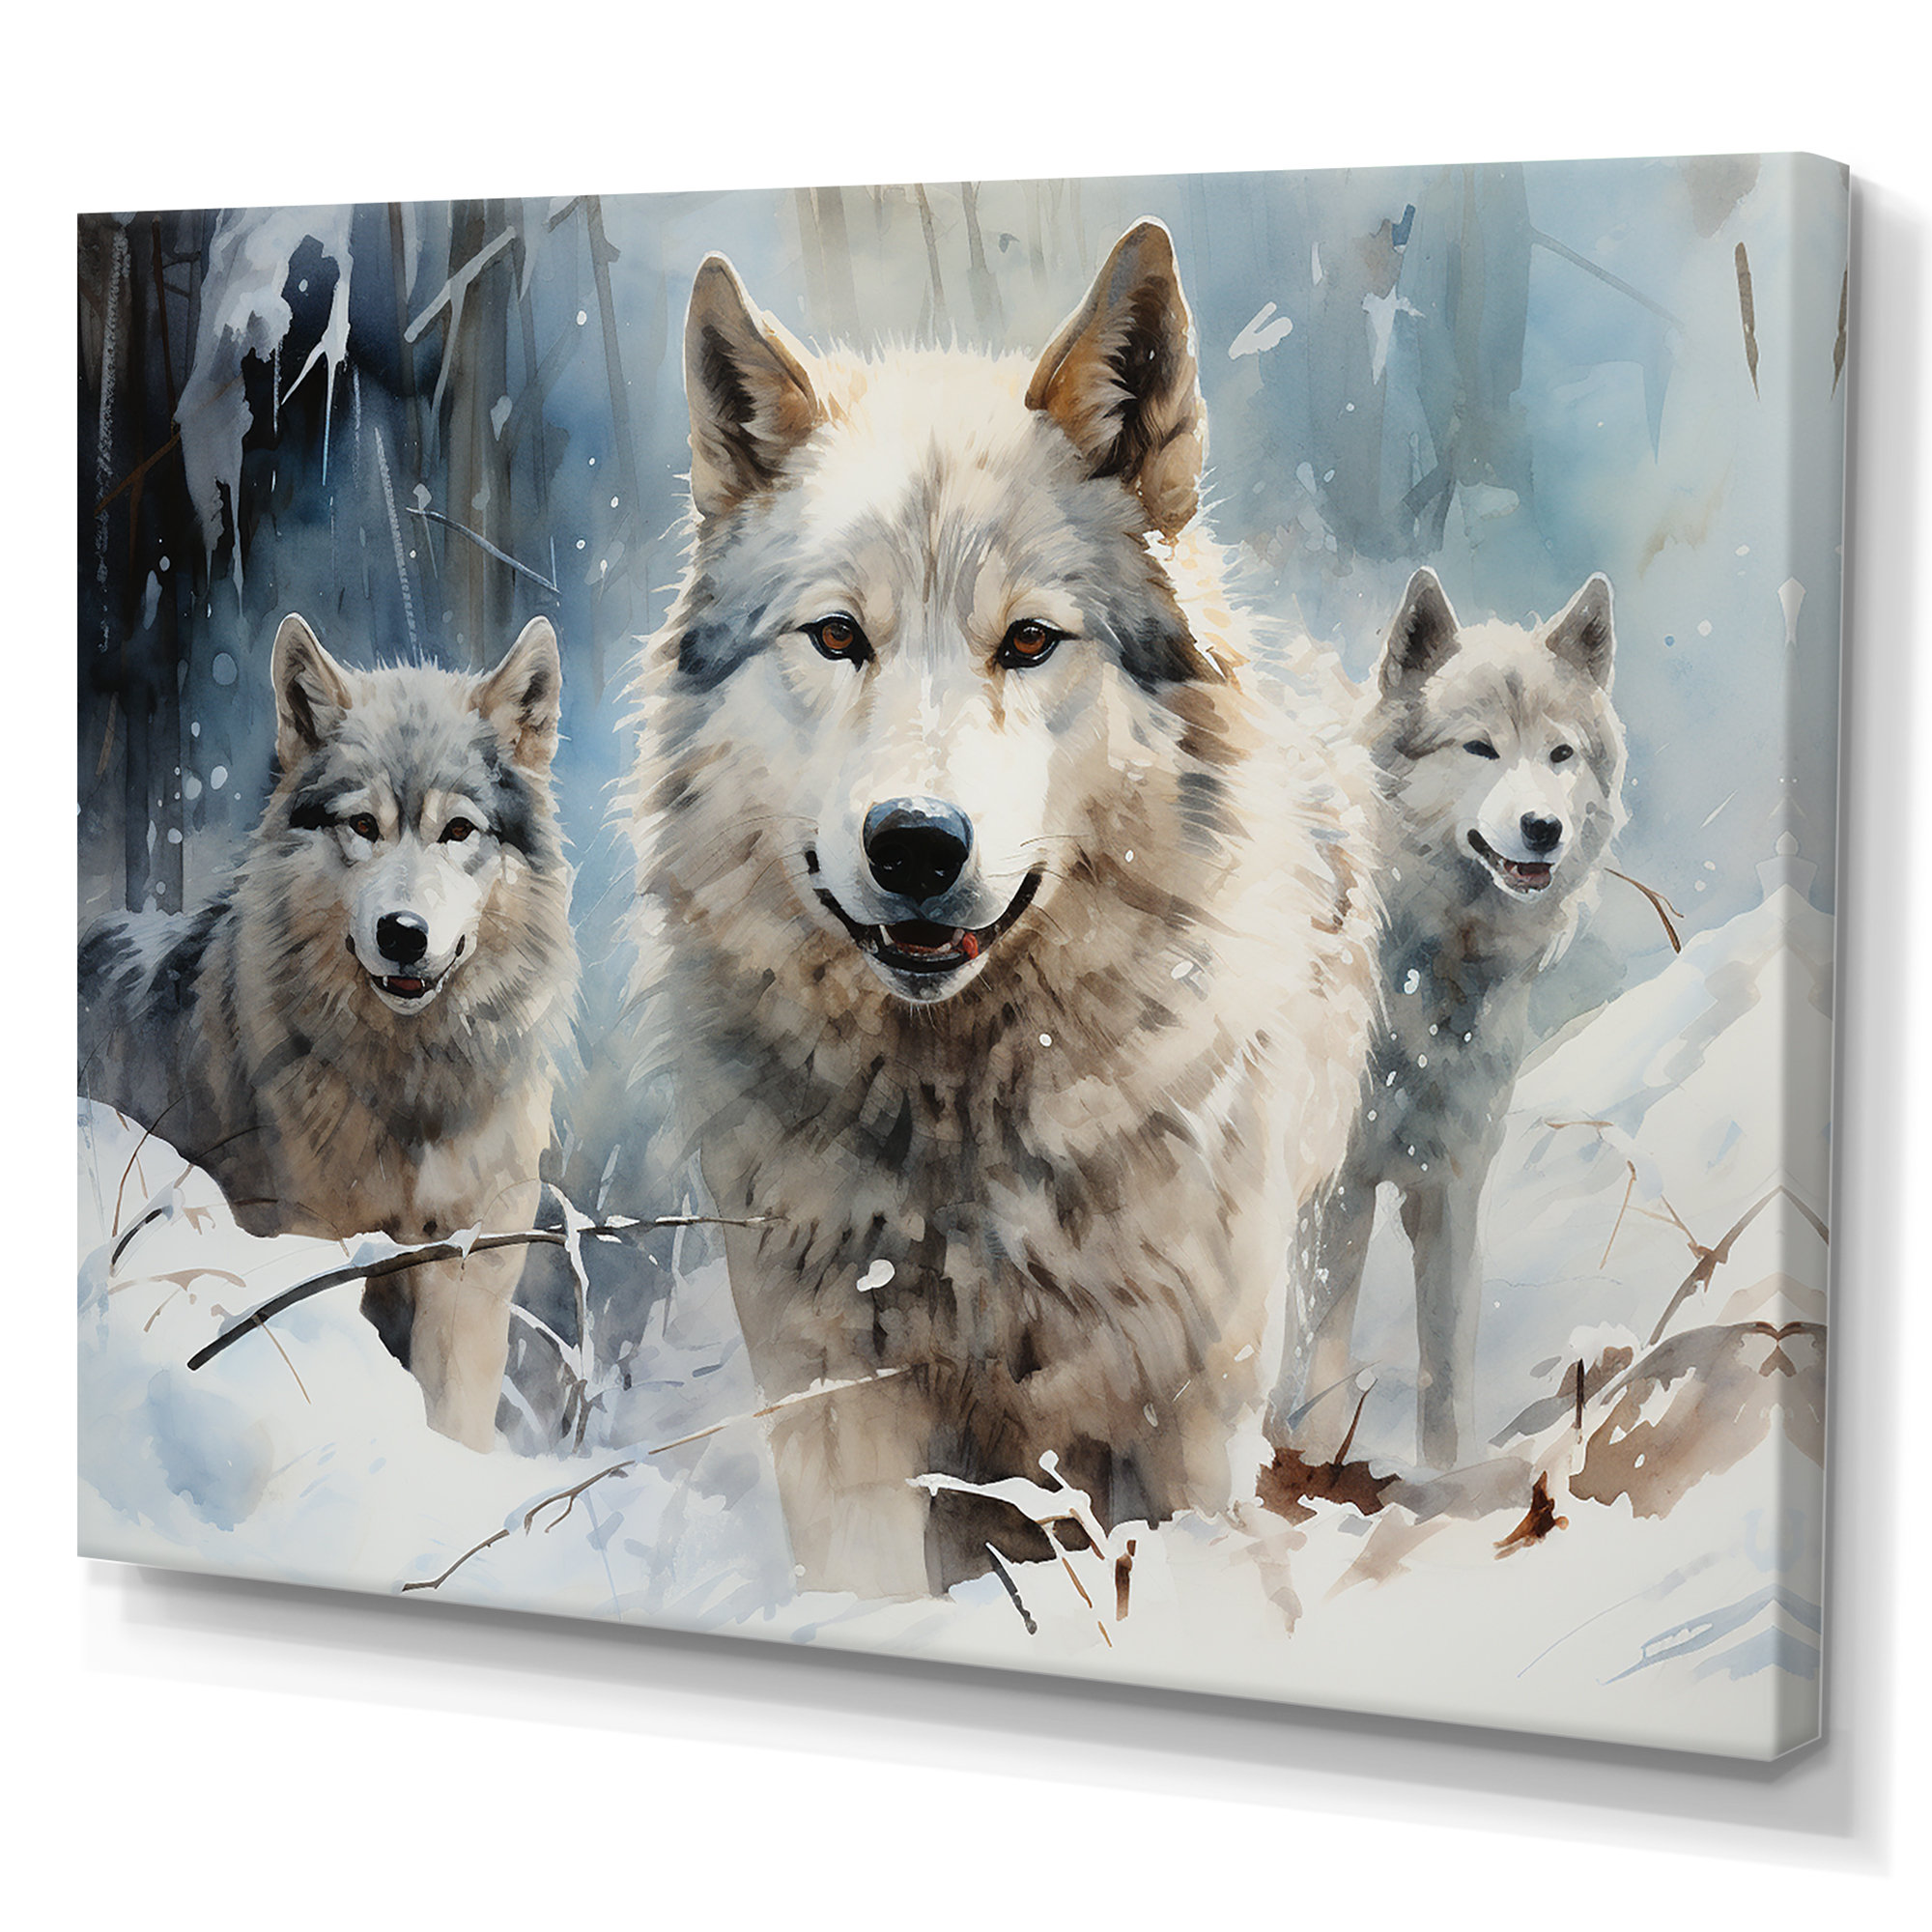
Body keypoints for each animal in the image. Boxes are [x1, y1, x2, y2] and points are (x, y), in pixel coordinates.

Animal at [78, 615, 577, 1450]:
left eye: (458, 830)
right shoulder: (311, 1251)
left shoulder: (466, 1271)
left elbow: (453, 1419)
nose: (403, 933)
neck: (409, 1095)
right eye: (363, 826)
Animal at [628, 221, 1380, 1599]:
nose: (917, 845)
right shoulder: (835, 1415)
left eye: (1028, 642)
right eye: (835, 636)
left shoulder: (1186, 1417)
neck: (964, 1144)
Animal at [1274, 567, 1627, 1470]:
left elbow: (1446, 1365)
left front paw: (1446, 1476)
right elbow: (1322, 1361)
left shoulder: (1451, 1190)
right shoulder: (1338, 1192)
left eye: (1559, 755)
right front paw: (1312, 1470)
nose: (1544, 828)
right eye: (1480, 749)